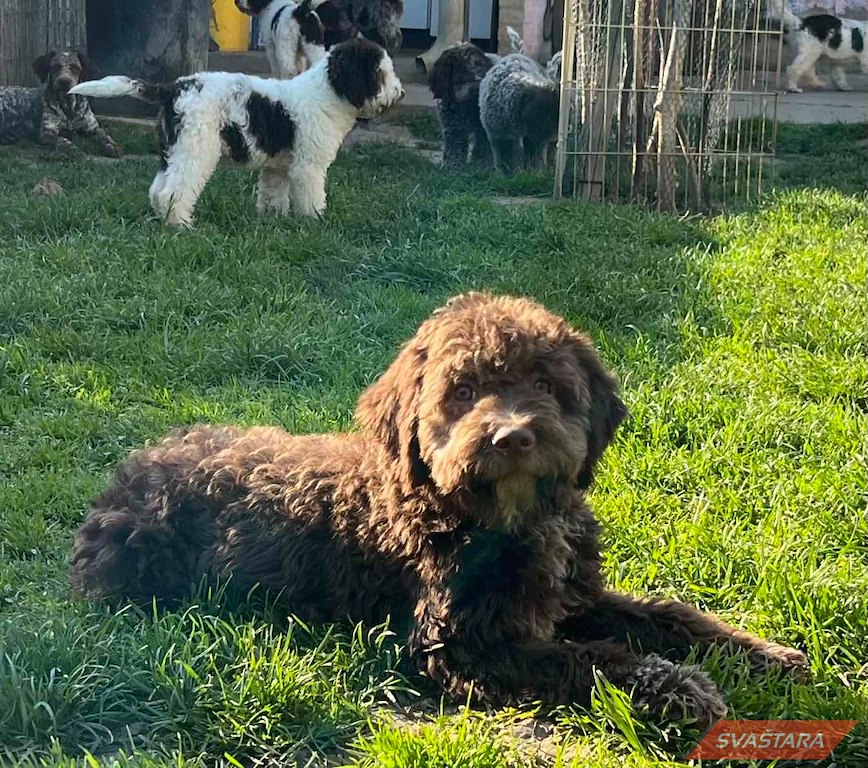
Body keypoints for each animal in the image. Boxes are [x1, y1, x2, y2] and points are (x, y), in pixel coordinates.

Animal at [69, 39, 406, 225]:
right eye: (379, 72)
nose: (400, 94)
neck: (328, 92)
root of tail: (173, 87)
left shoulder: (277, 167)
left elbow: (272, 195)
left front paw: (273, 220)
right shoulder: (308, 166)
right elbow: (312, 196)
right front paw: (315, 220)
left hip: (173, 149)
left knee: (157, 189)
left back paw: (163, 219)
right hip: (195, 150)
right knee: (173, 191)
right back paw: (181, 225)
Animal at [69, 294, 808, 728]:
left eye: (545, 383)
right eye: (464, 390)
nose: (512, 437)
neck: (504, 522)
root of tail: (126, 478)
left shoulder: (576, 596)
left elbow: (669, 615)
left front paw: (763, 653)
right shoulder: (467, 646)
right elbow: (593, 660)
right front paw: (679, 688)